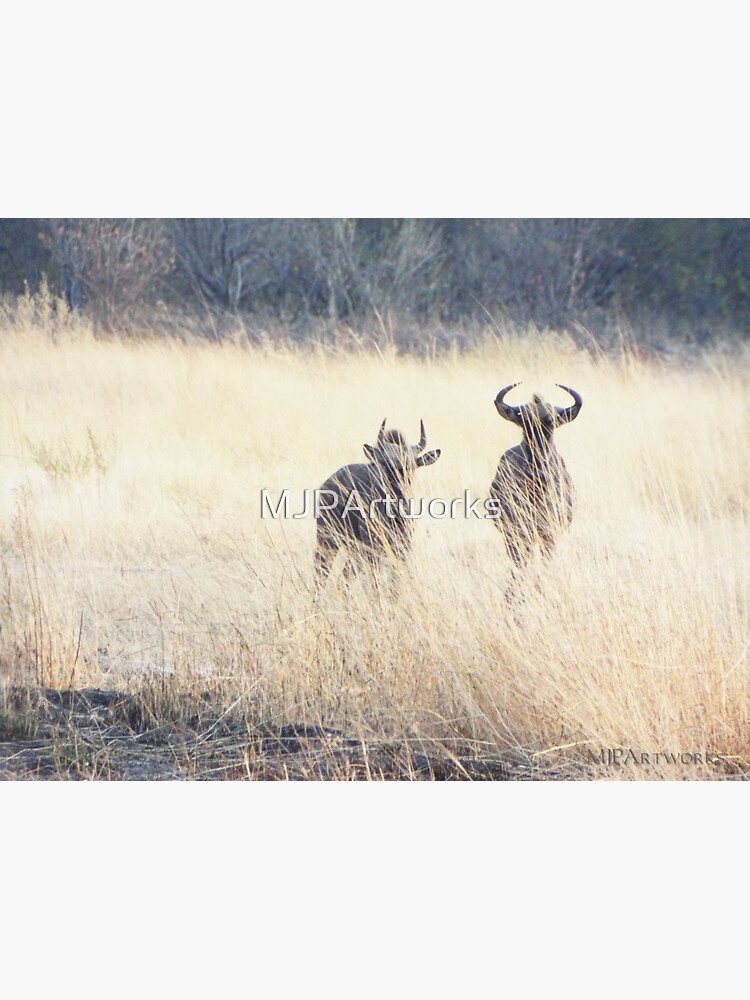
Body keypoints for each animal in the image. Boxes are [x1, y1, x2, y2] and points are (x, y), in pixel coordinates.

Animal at [315, 419, 441, 584]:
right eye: (384, 462)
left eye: (410, 464)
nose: (397, 491)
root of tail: (328, 483)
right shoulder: (372, 547)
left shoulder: (403, 547)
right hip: (326, 540)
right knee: (320, 574)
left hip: (352, 550)